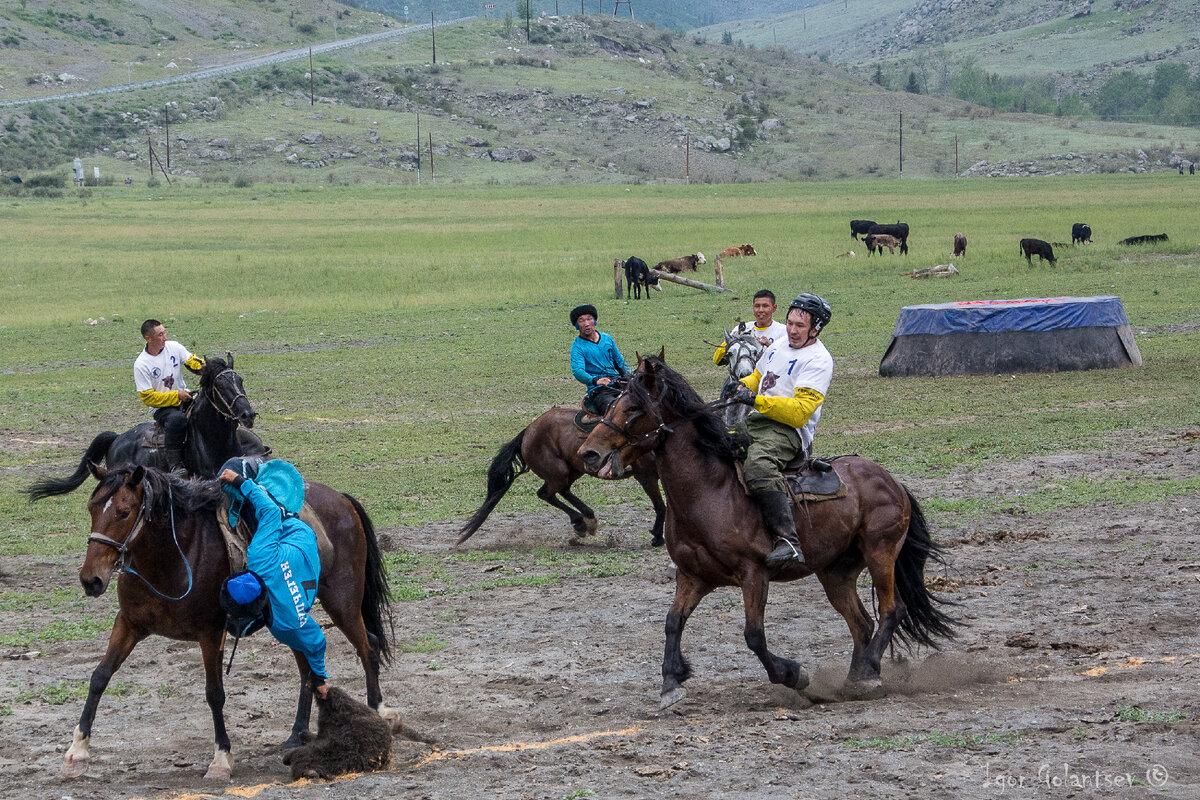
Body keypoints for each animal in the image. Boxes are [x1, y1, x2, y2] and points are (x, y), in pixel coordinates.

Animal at [57, 462, 393, 782]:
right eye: (91, 508)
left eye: (124, 512)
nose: (91, 580)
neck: (175, 556)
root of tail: (342, 498)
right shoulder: (129, 623)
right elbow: (100, 676)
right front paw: (77, 752)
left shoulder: (210, 633)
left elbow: (214, 694)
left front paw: (221, 759)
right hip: (294, 617)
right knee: (307, 668)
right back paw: (297, 733)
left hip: (341, 604)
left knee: (368, 647)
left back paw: (379, 711)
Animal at [456, 410, 667, 546]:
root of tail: (528, 430)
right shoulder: (646, 476)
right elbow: (660, 506)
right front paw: (657, 537)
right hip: (559, 471)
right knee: (546, 493)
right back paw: (581, 521)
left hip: (573, 469)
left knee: (561, 490)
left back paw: (586, 519)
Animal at [576, 355, 960, 705]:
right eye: (613, 403)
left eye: (634, 407)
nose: (588, 453)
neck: (710, 490)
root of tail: (890, 480)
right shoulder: (692, 576)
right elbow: (673, 622)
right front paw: (672, 681)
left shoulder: (754, 574)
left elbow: (754, 636)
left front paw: (793, 674)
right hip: (835, 571)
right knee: (862, 623)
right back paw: (856, 676)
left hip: (881, 551)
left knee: (892, 611)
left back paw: (866, 673)